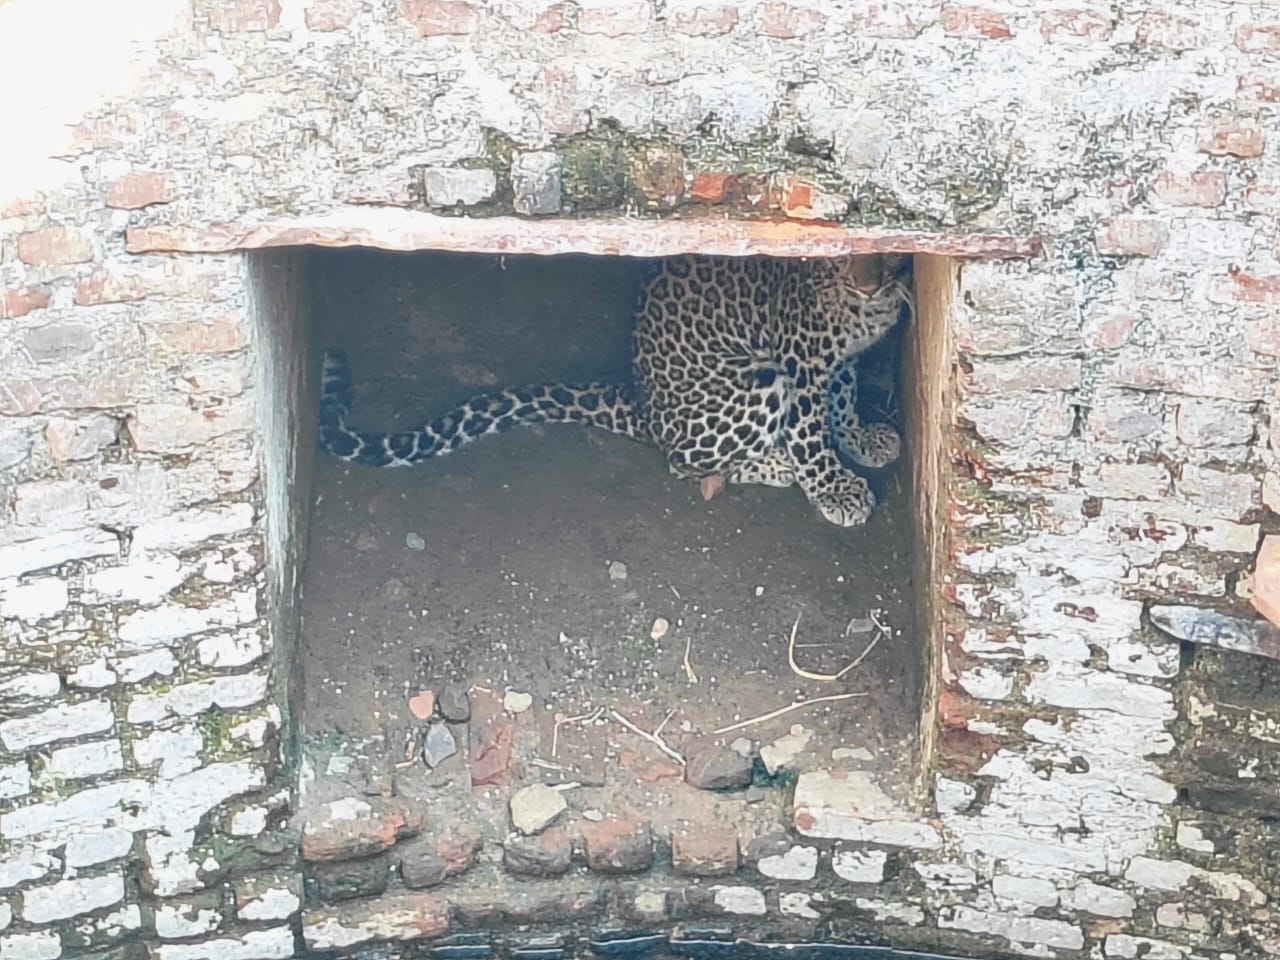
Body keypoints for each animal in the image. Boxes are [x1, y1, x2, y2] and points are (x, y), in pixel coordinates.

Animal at [319, 253, 912, 527]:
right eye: (841, 257)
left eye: (883, 255)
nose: (867, 286)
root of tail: (645, 406)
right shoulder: (800, 361)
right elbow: (811, 431)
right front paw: (834, 489)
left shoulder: (836, 358)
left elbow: (842, 395)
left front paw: (860, 438)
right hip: (757, 384)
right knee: (683, 460)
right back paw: (773, 463)